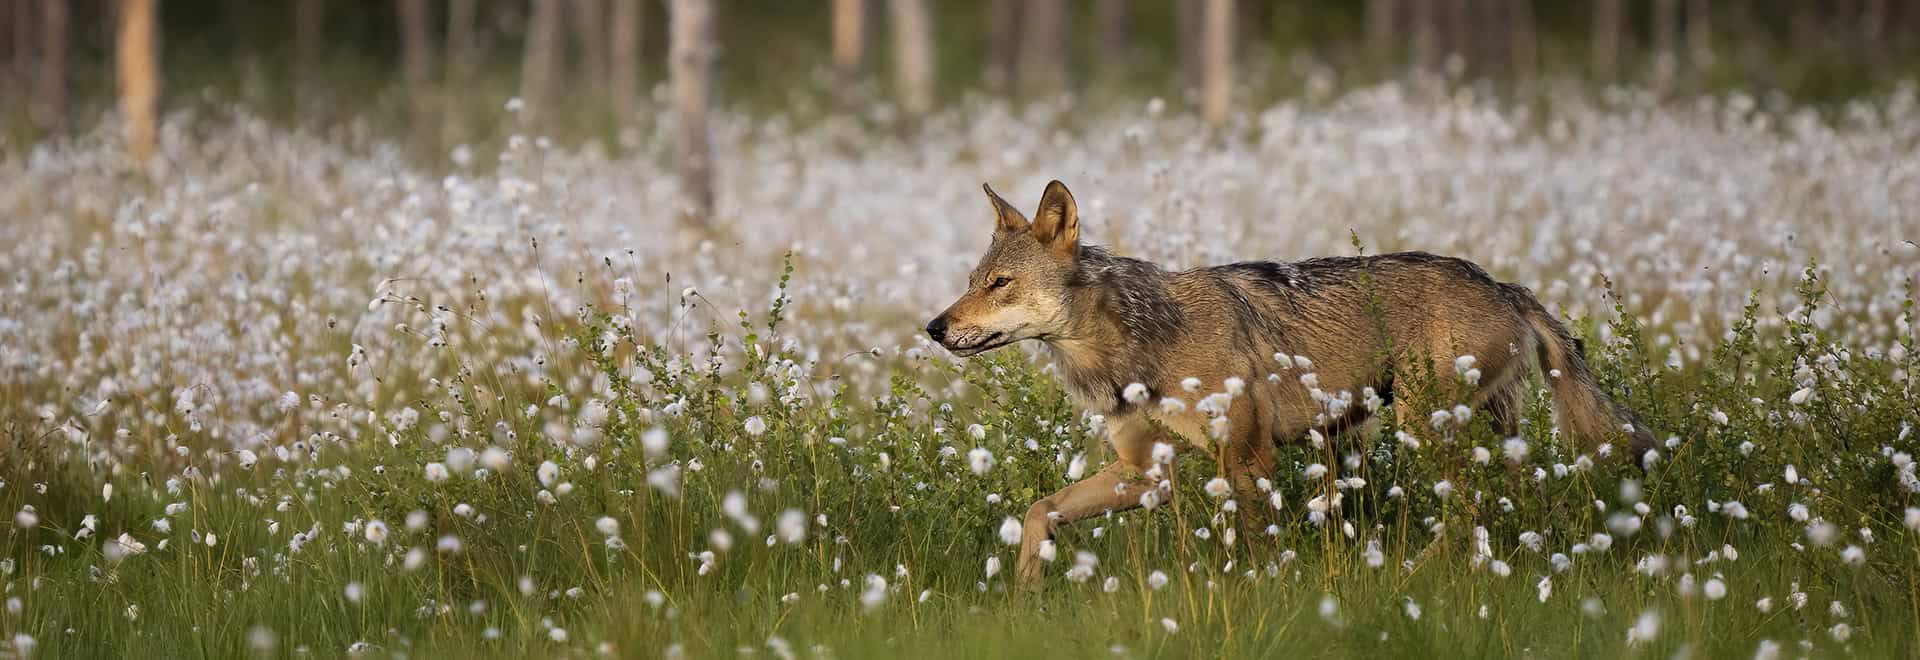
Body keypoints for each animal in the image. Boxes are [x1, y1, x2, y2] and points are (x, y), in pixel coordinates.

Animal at [926, 181, 1655, 587]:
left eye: (1000, 284)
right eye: (971, 281)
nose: (934, 327)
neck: (1135, 343)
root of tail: (1505, 285)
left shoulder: (1249, 456)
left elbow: (1256, 550)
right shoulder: (1146, 473)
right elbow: (1037, 511)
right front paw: (1026, 590)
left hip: (1424, 428)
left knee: (1466, 513)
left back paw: (1410, 580)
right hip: (1487, 437)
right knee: (1512, 509)